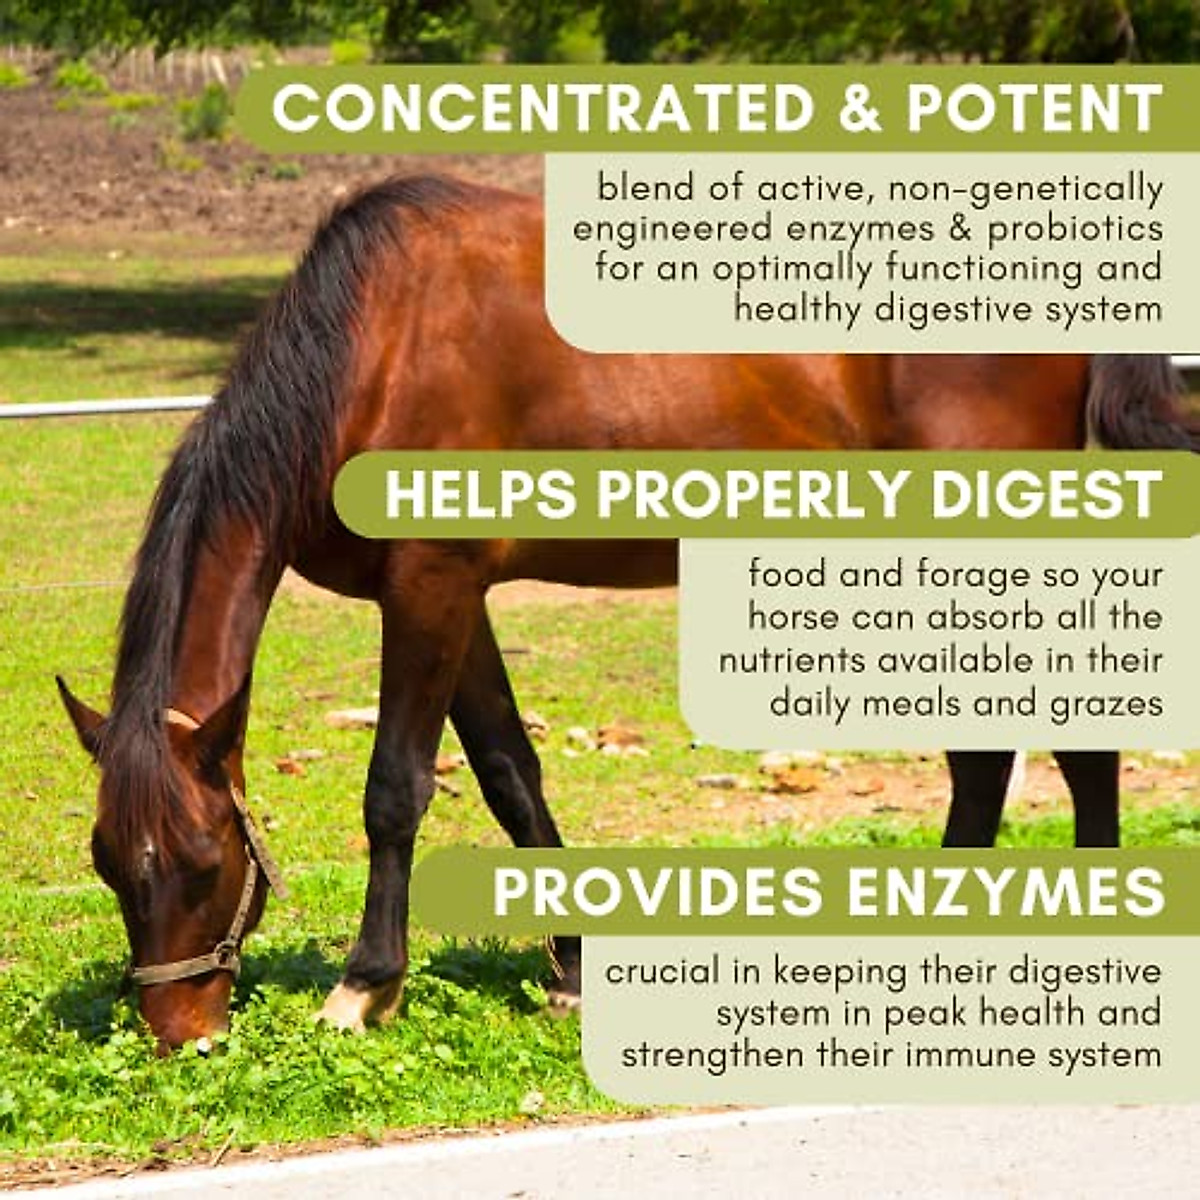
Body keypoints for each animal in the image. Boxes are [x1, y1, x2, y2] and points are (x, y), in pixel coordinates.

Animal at [57, 175, 1197, 1051]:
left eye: (206, 863)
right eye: (110, 865)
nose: (182, 1034)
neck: (370, 351)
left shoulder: (429, 590)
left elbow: (396, 790)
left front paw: (365, 985)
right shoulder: (453, 598)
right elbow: (510, 777)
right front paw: (571, 965)